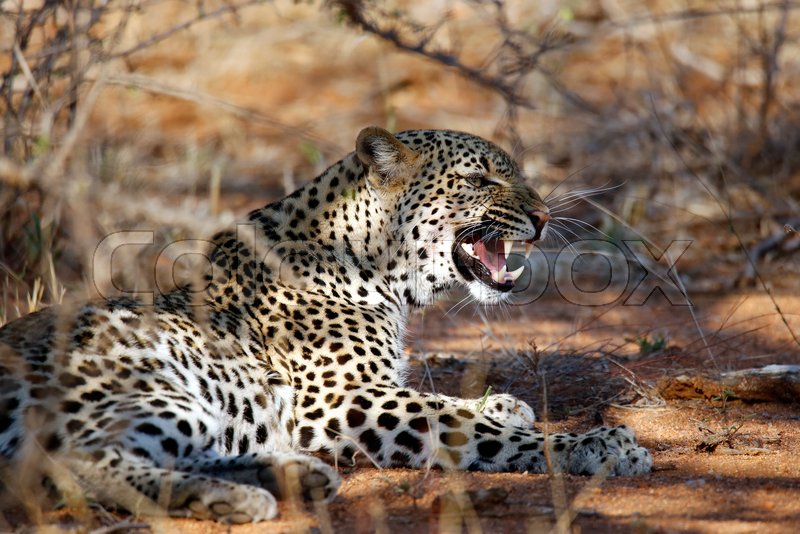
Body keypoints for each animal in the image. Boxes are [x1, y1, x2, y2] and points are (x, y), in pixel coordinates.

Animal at [0, 127, 652, 523]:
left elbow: (445, 399)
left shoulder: (372, 387)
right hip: (156, 391)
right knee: (62, 468)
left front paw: (504, 403)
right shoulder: (339, 398)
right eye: (479, 180)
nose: (542, 216)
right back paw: (238, 496)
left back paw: (288, 476)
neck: (379, 270)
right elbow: (462, 424)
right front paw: (598, 444)